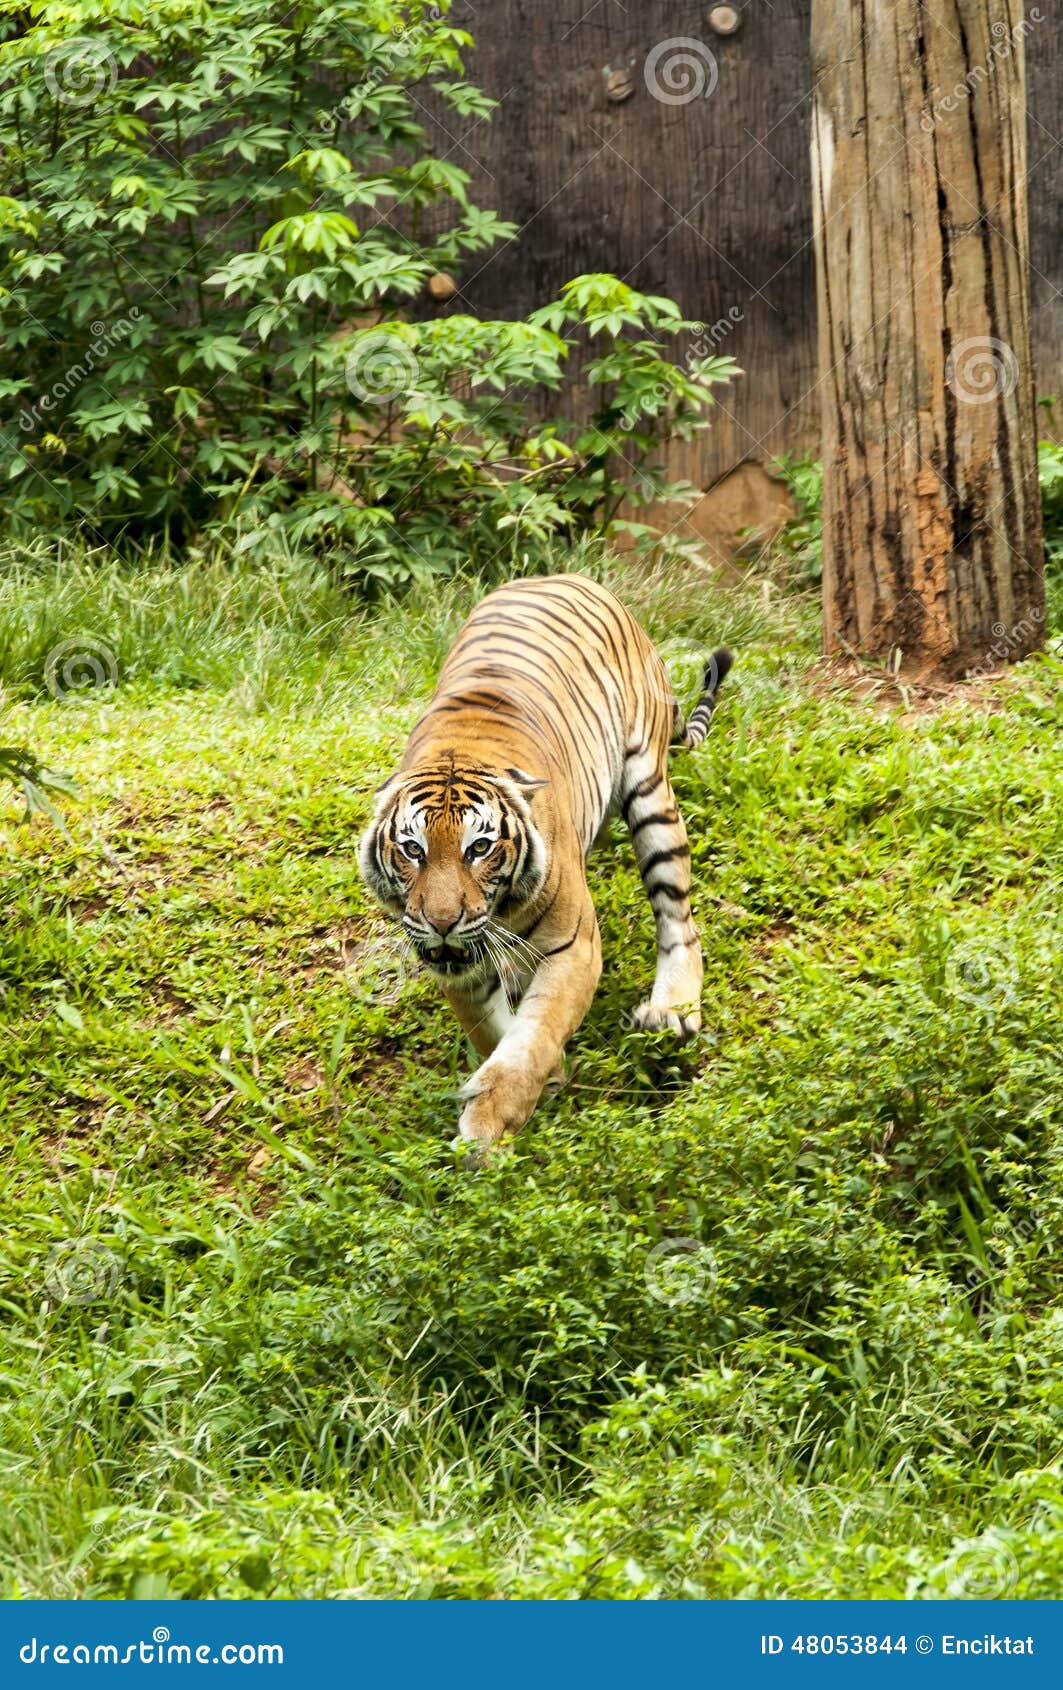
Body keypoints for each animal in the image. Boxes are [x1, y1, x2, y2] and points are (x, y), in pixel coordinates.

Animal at [358, 573, 732, 1154]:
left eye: (479, 848)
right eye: (413, 849)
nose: (442, 923)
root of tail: (575, 578)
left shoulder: (573, 948)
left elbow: (533, 1035)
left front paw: (491, 1122)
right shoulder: (457, 971)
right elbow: (494, 1029)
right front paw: (541, 1081)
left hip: (651, 793)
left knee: (679, 919)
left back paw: (671, 1012)